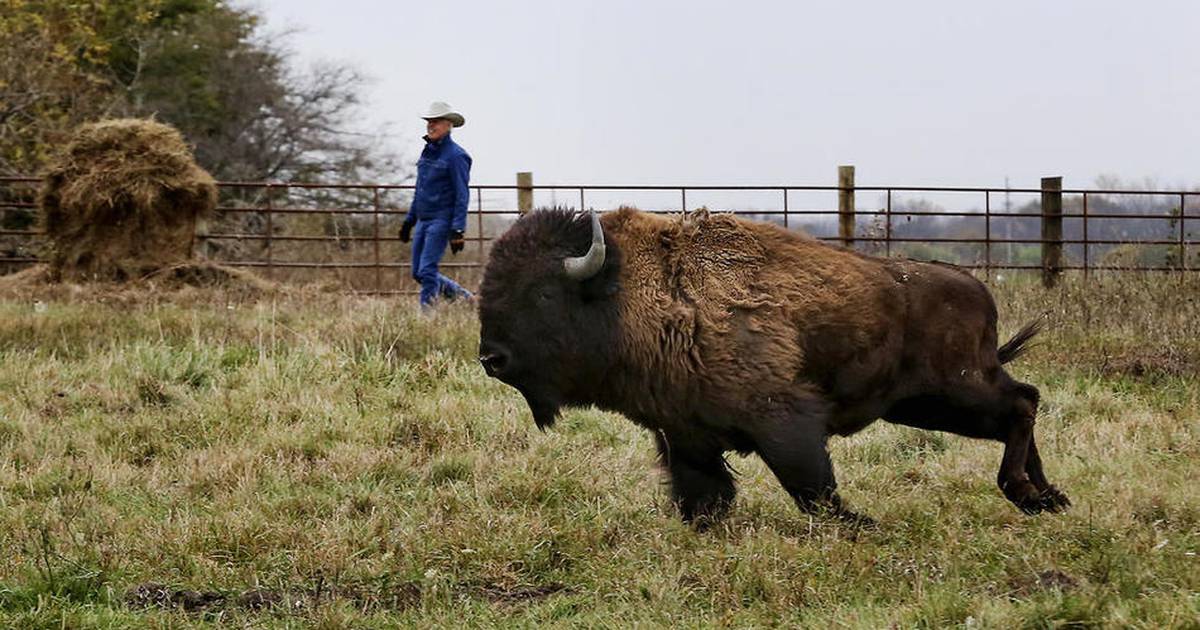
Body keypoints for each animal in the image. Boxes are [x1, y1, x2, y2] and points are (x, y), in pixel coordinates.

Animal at [478, 207, 1069, 525]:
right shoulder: (682, 433)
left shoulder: (783, 420)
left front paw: (861, 522)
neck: (627, 289)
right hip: (925, 404)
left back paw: (1026, 492)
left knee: (1022, 403)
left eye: (543, 293)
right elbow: (703, 496)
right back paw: (1049, 498)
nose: (490, 357)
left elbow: (810, 486)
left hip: (953, 392)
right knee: (1023, 402)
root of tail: (976, 287)